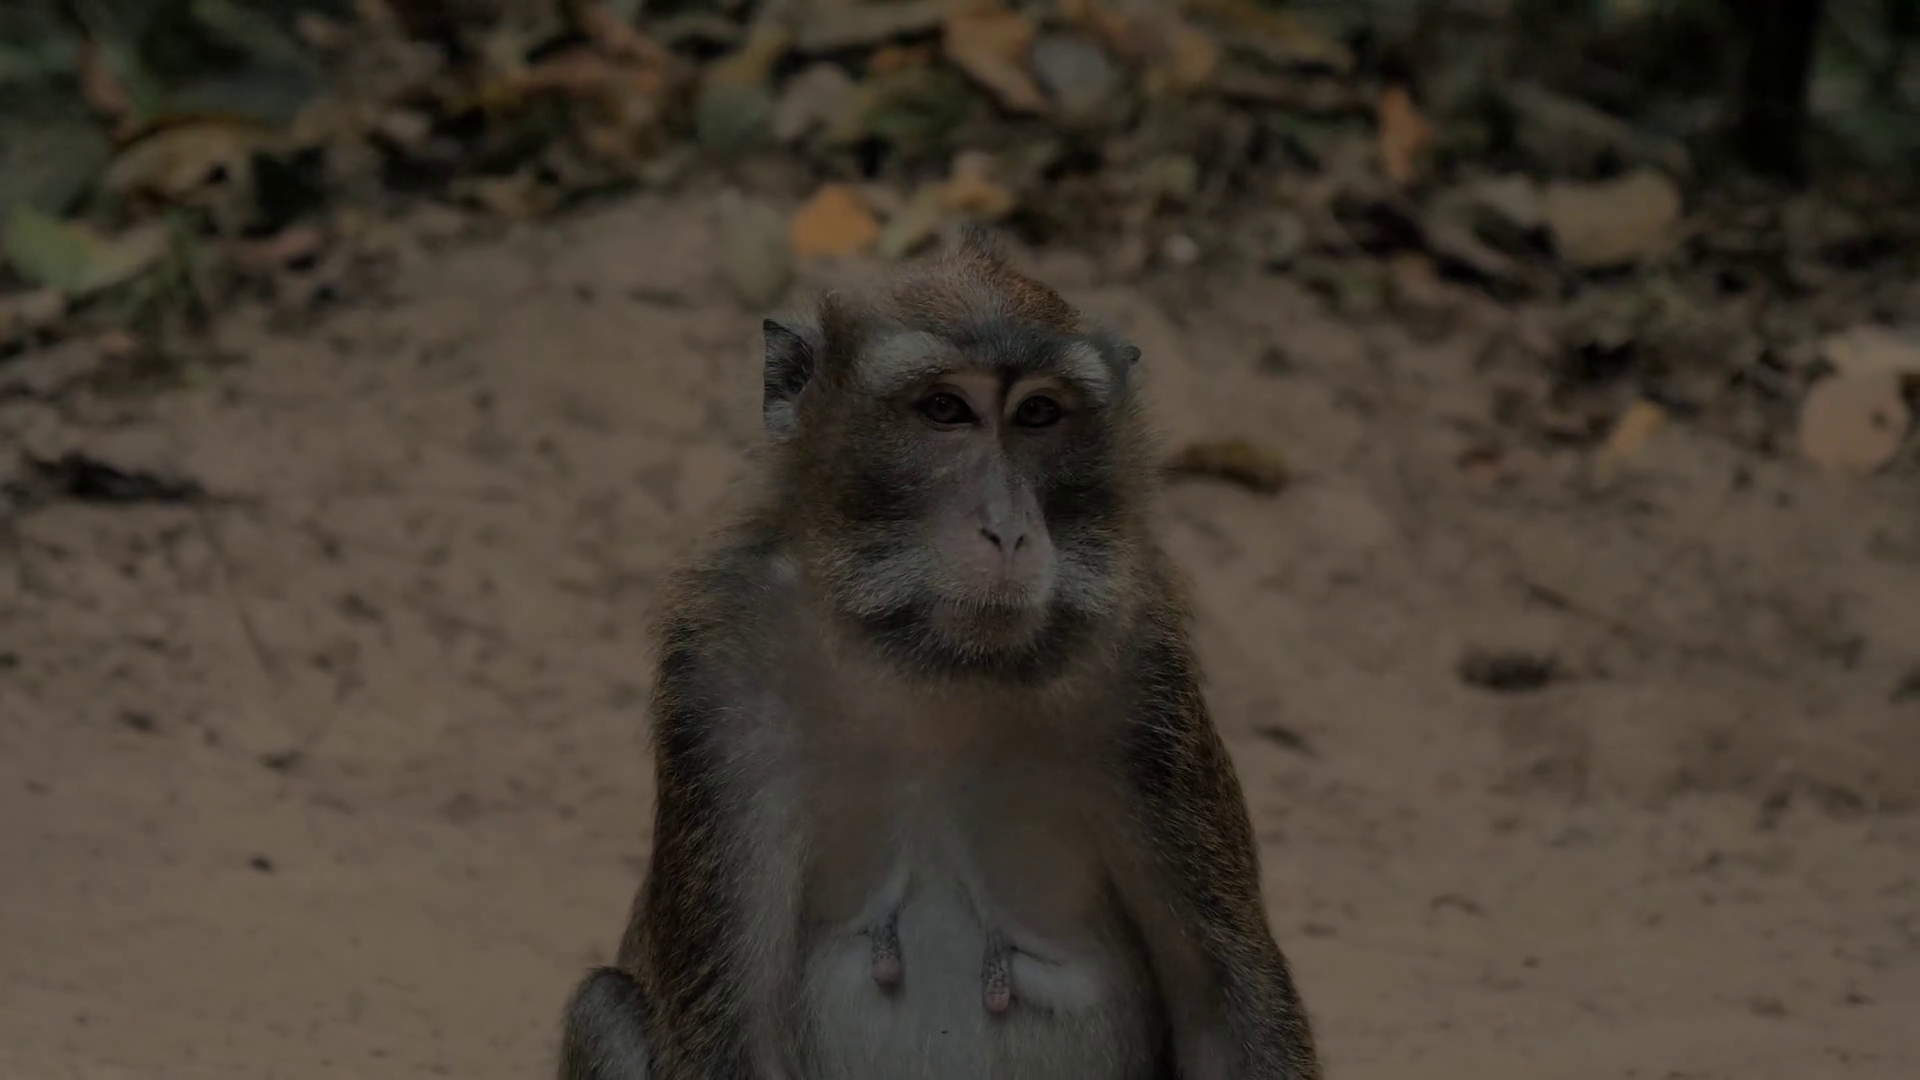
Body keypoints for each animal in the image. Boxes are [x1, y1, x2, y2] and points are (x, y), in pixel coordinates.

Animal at [557, 226, 1320, 1080]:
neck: (931, 667)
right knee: (605, 1009)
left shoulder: (1147, 688)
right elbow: (733, 1028)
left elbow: (1222, 1011)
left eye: (1039, 413)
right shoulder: (718, 679)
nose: (1008, 529)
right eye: (945, 410)